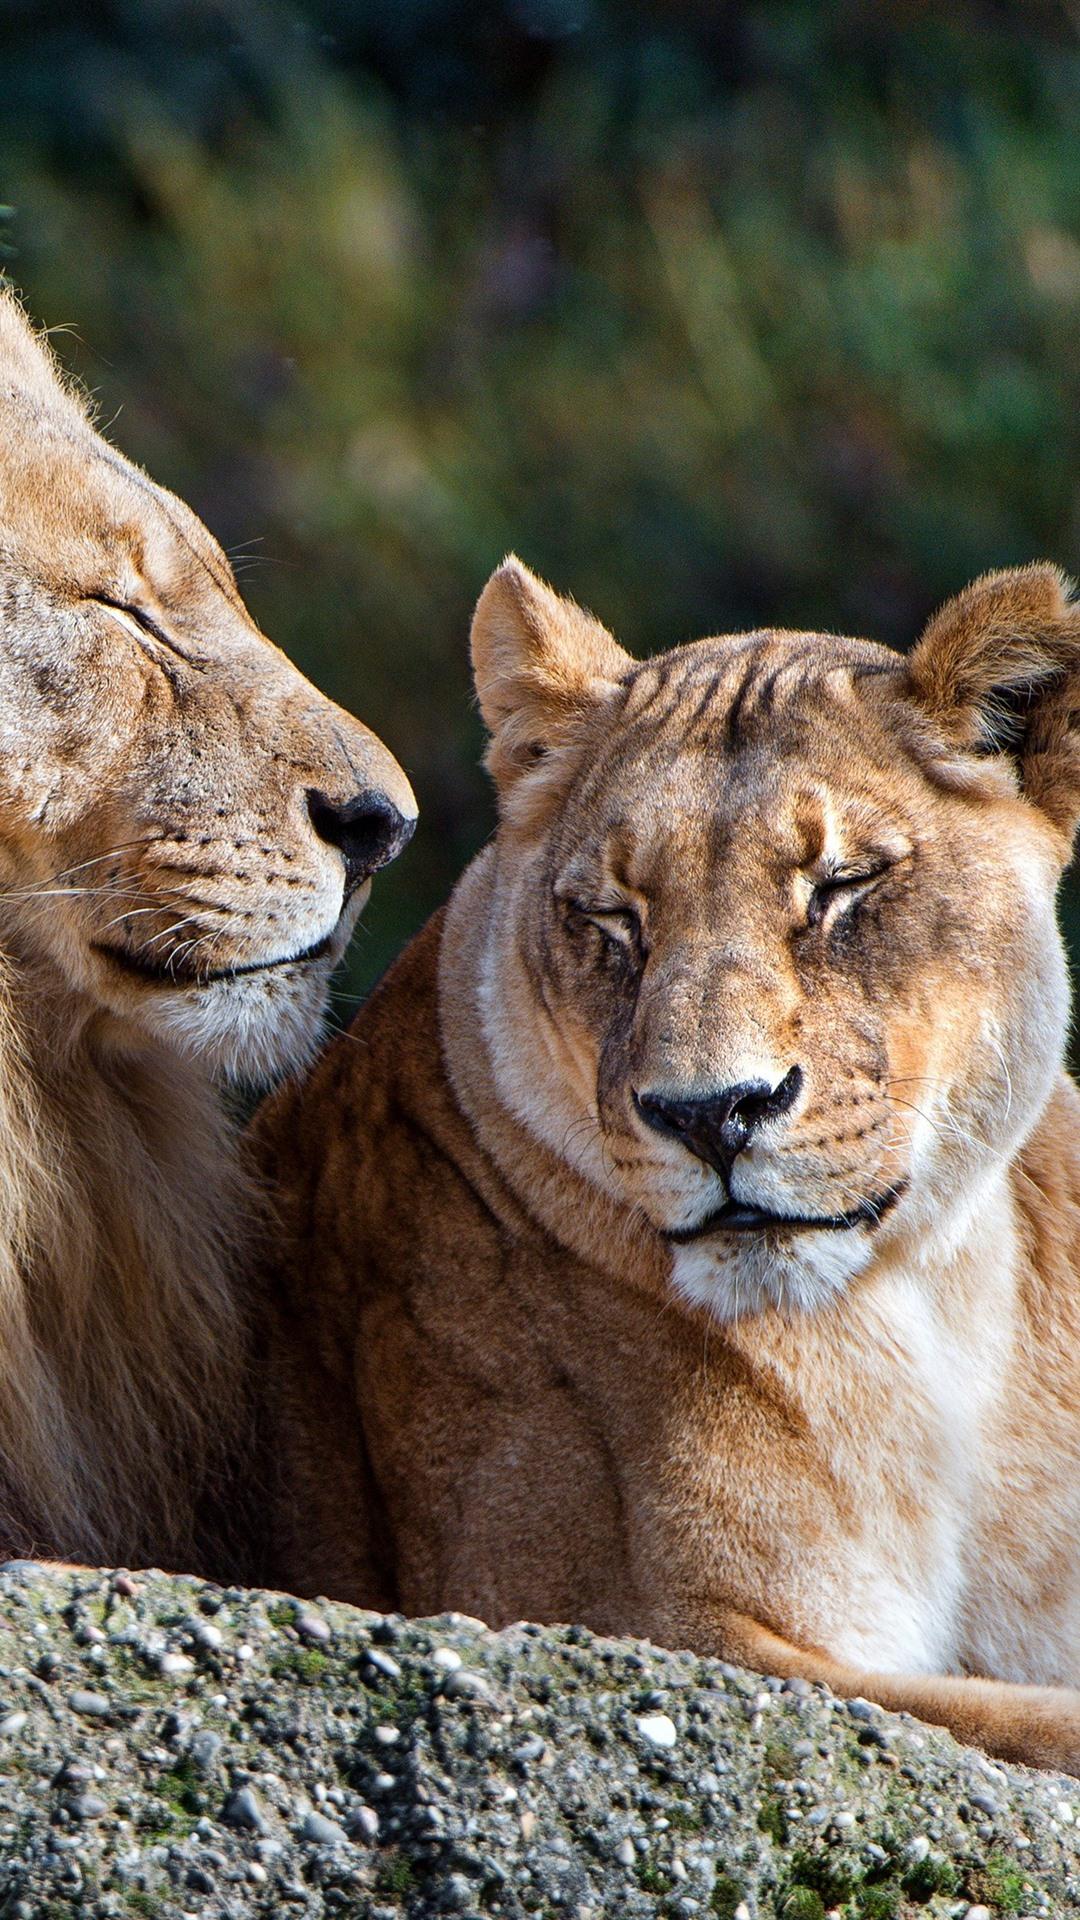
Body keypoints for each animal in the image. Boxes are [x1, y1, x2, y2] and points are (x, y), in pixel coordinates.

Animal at [255, 552, 1080, 1773]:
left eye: (840, 884)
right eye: (611, 915)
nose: (712, 1114)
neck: (931, 1309)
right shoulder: (630, 1618)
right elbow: (1021, 1723)